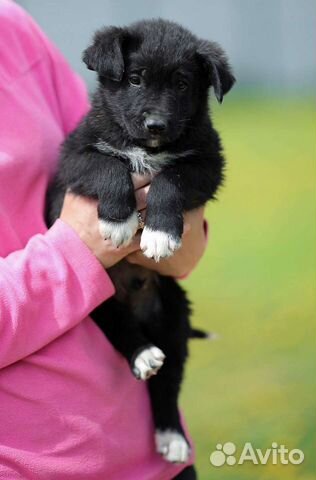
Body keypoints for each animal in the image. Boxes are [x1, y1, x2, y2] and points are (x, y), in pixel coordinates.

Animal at [46, 18, 235, 464]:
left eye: (183, 84)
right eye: (134, 79)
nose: (156, 126)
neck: (143, 147)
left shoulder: (206, 162)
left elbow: (171, 179)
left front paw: (161, 233)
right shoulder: (76, 155)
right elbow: (109, 165)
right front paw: (118, 220)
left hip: (174, 314)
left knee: (167, 385)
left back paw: (172, 435)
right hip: (99, 303)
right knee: (119, 327)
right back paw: (142, 353)